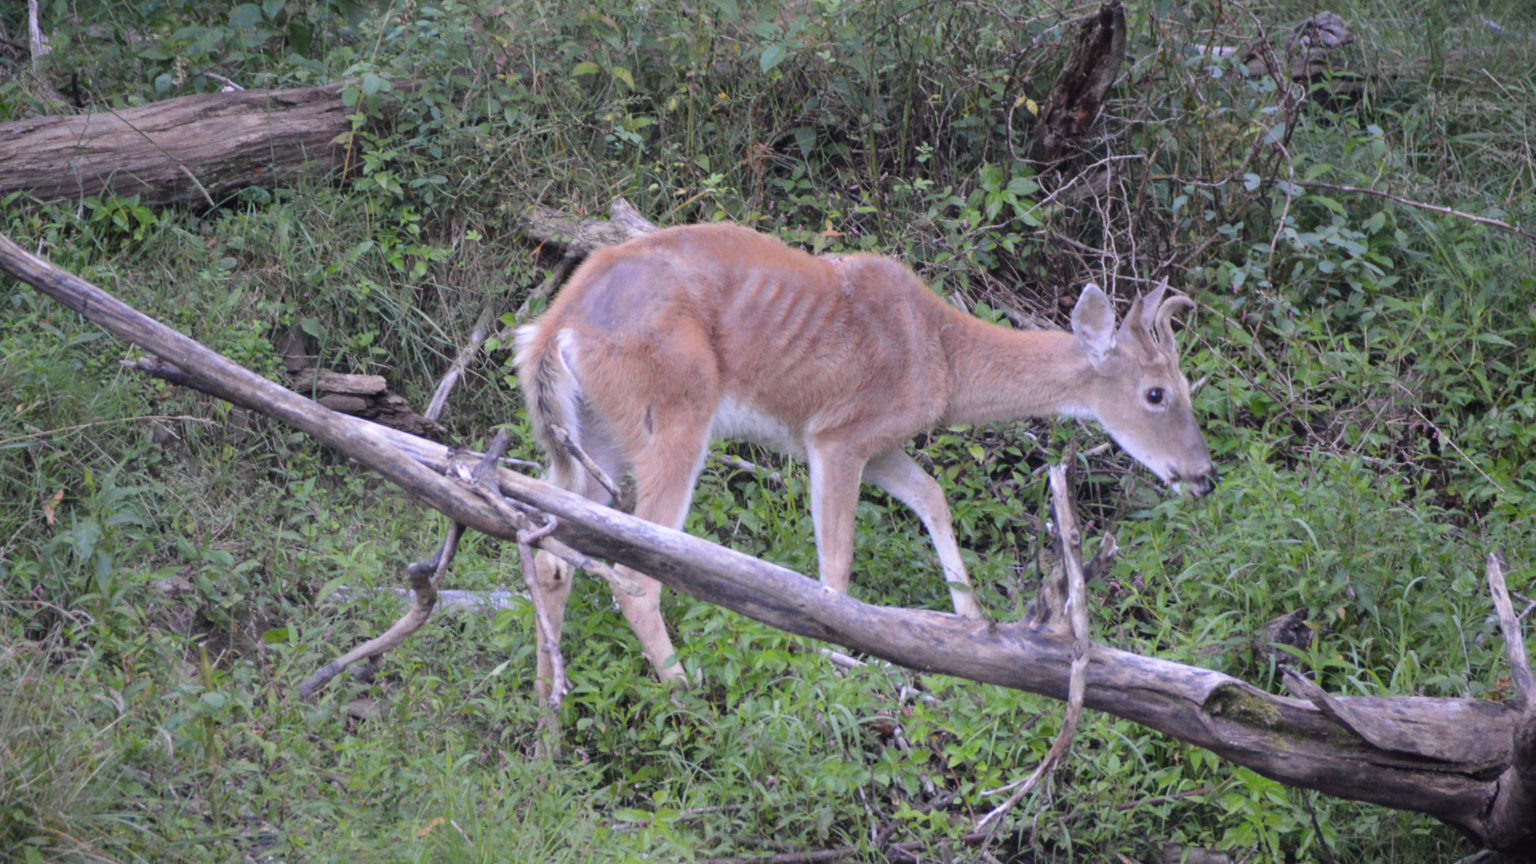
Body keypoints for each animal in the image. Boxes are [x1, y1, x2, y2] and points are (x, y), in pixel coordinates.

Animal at [515, 222, 1216, 688]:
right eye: (1157, 393)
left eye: (1186, 387)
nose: (1203, 476)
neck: (942, 356)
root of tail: (553, 329)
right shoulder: (838, 434)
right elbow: (835, 567)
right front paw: (841, 661)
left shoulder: (878, 443)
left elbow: (933, 495)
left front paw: (972, 626)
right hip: (672, 412)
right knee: (633, 574)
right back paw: (683, 691)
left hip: (589, 441)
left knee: (550, 554)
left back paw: (551, 714)